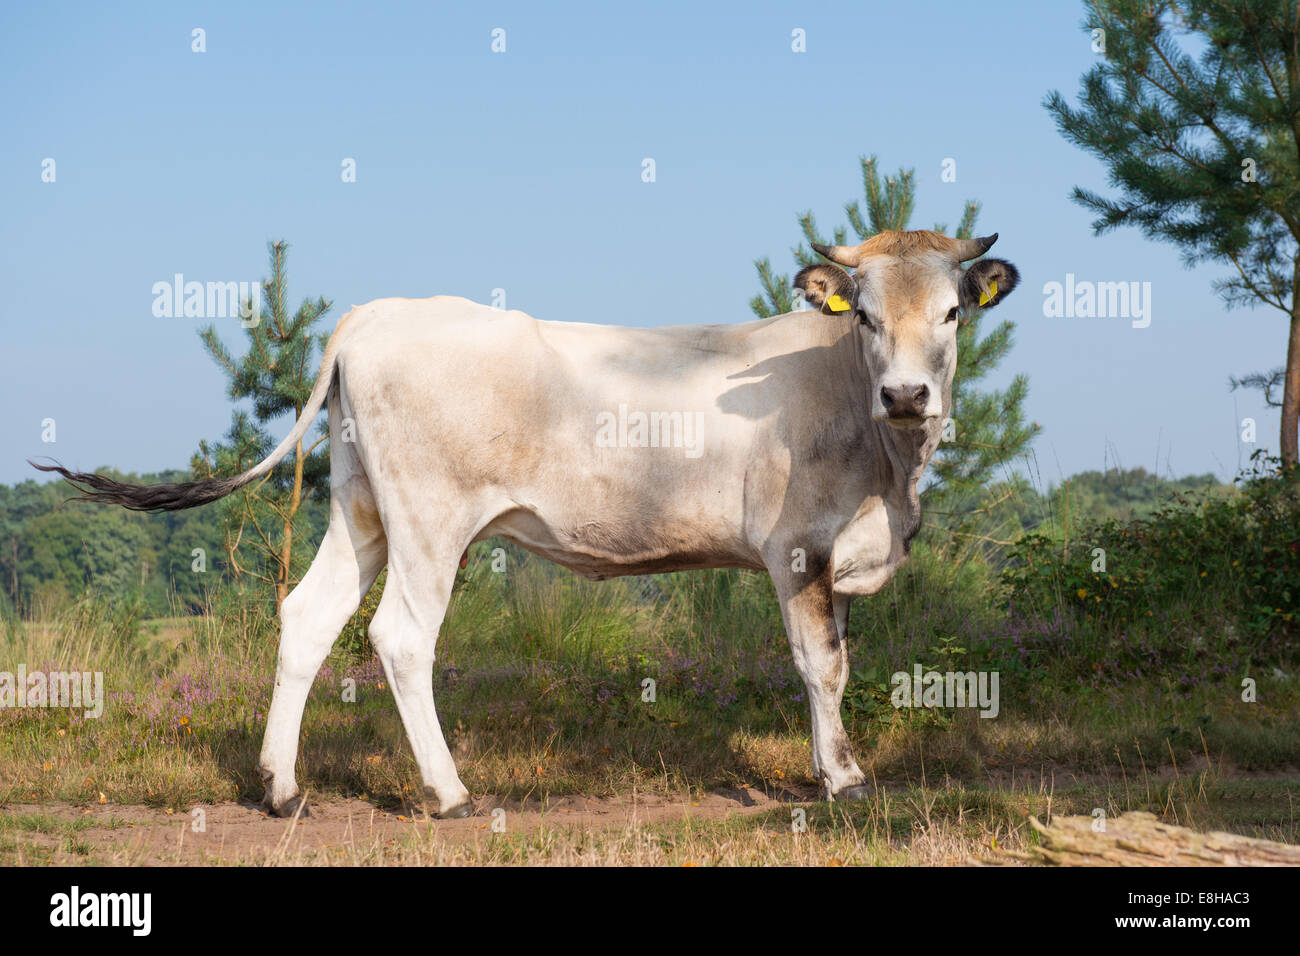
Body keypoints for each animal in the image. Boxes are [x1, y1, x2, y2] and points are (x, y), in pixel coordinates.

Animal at [34, 228, 1019, 818]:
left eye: (952, 311)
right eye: (866, 317)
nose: (907, 393)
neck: (886, 462)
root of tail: (379, 312)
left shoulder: (839, 559)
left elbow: (836, 668)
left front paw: (831, 768)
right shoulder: (800, 550)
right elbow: (823, 666)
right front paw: (844, 780)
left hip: (362, 508)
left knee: (307, 618)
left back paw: (281, 788)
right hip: (430, 520)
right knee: (399, 636)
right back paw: (449, 793)